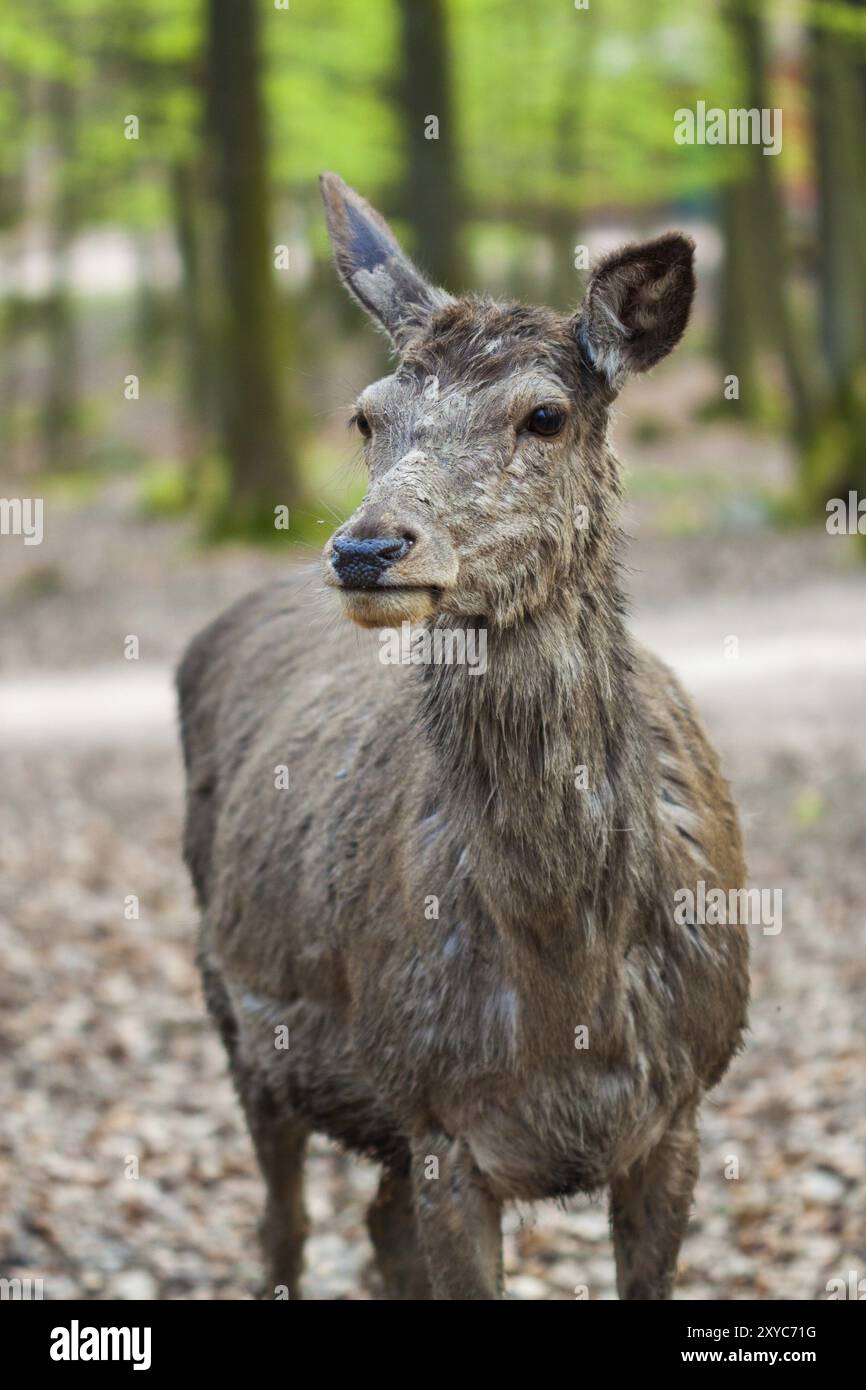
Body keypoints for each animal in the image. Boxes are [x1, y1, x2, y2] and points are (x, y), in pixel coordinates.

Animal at [177, 174, 750, 1301]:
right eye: (366, 415)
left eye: (545, 414)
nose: (366, 548)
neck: (568, 994)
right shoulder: (437, 1114)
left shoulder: (682, 1106)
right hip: (237, 1009)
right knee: (283, 1222)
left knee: (371, 1219)